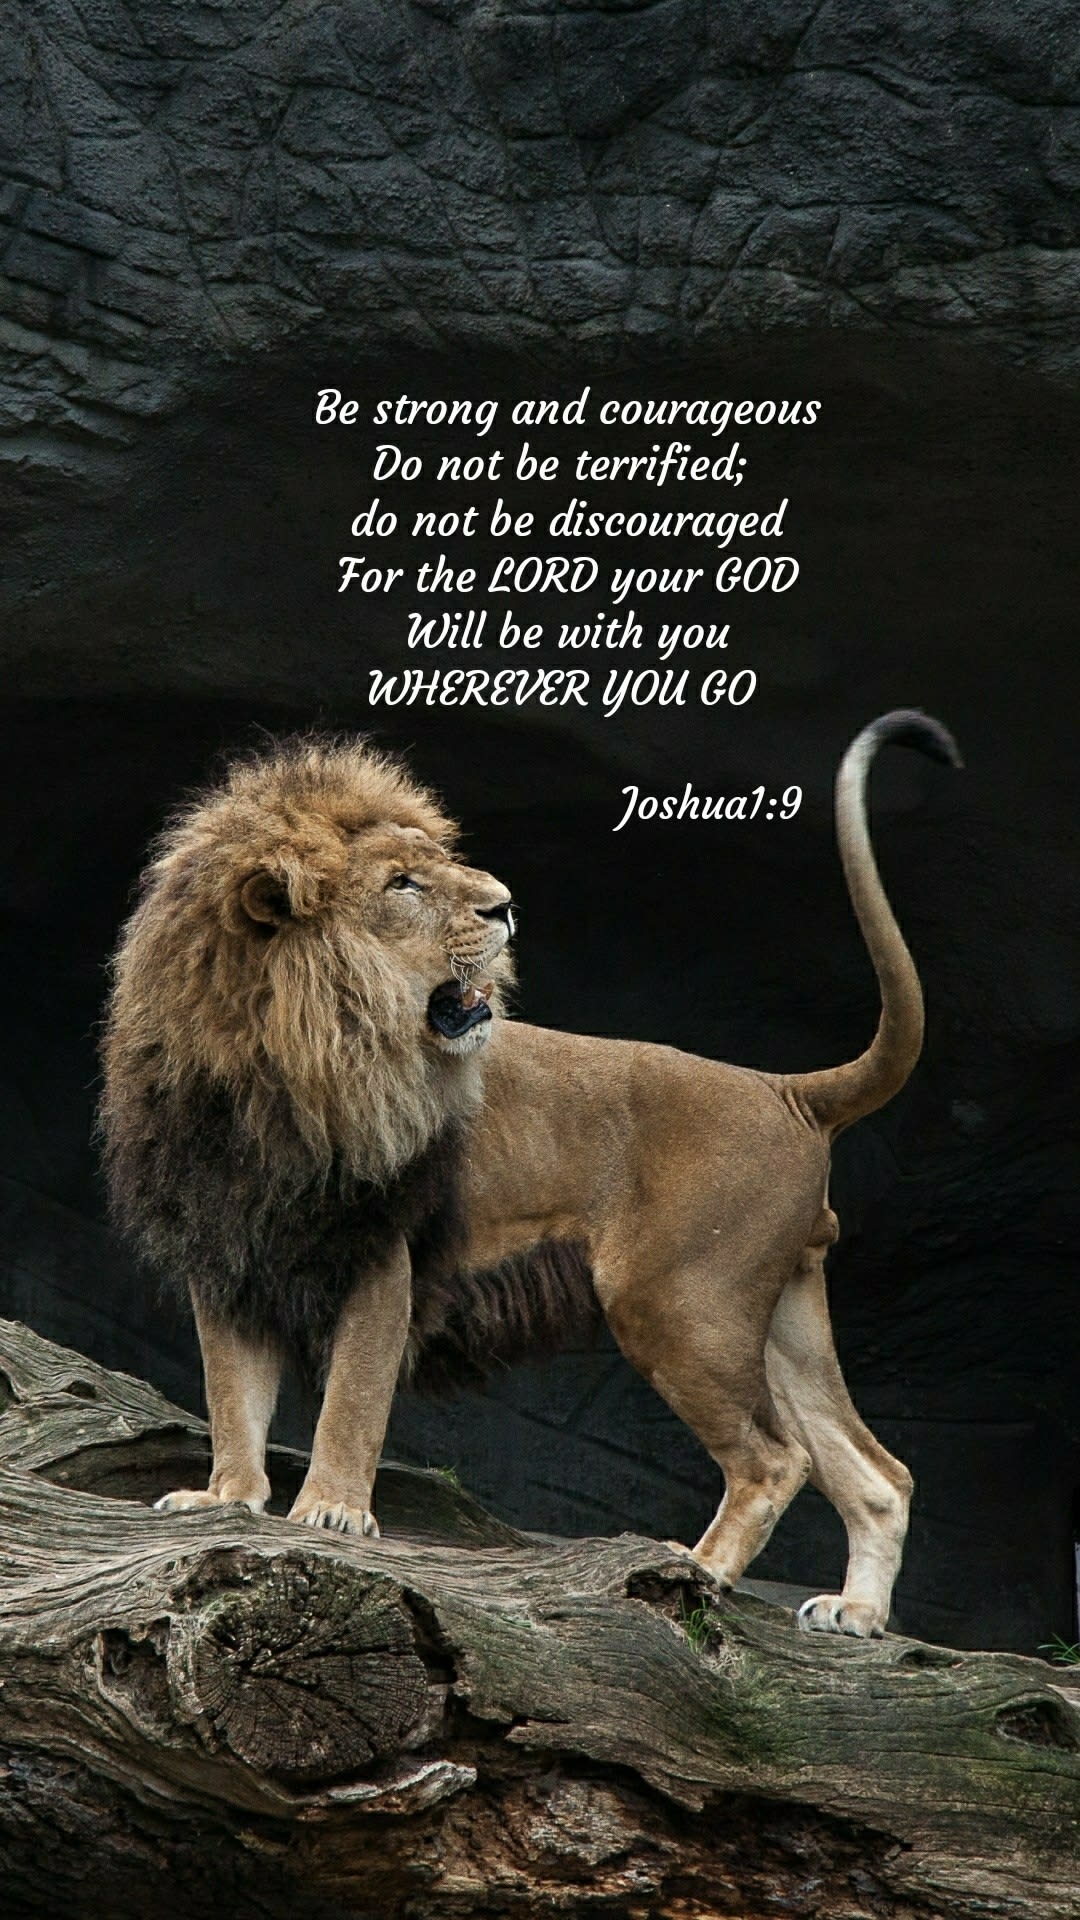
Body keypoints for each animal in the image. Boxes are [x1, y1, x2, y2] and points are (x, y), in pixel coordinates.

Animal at [101, 712, 960, 1638]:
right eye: (402, 883)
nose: (505, 903)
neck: (274, 1071)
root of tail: (783, 1089)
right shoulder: (228, 1252)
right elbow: (231, 1393)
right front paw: (227, 1497)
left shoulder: (383, 1252)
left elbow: (353, 1398)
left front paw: (331, 1511)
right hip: (775, 1314)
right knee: (876, 1473)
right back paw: (858, 1615)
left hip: (678, 1301)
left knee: (776, 1459)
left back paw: (697, 1572)